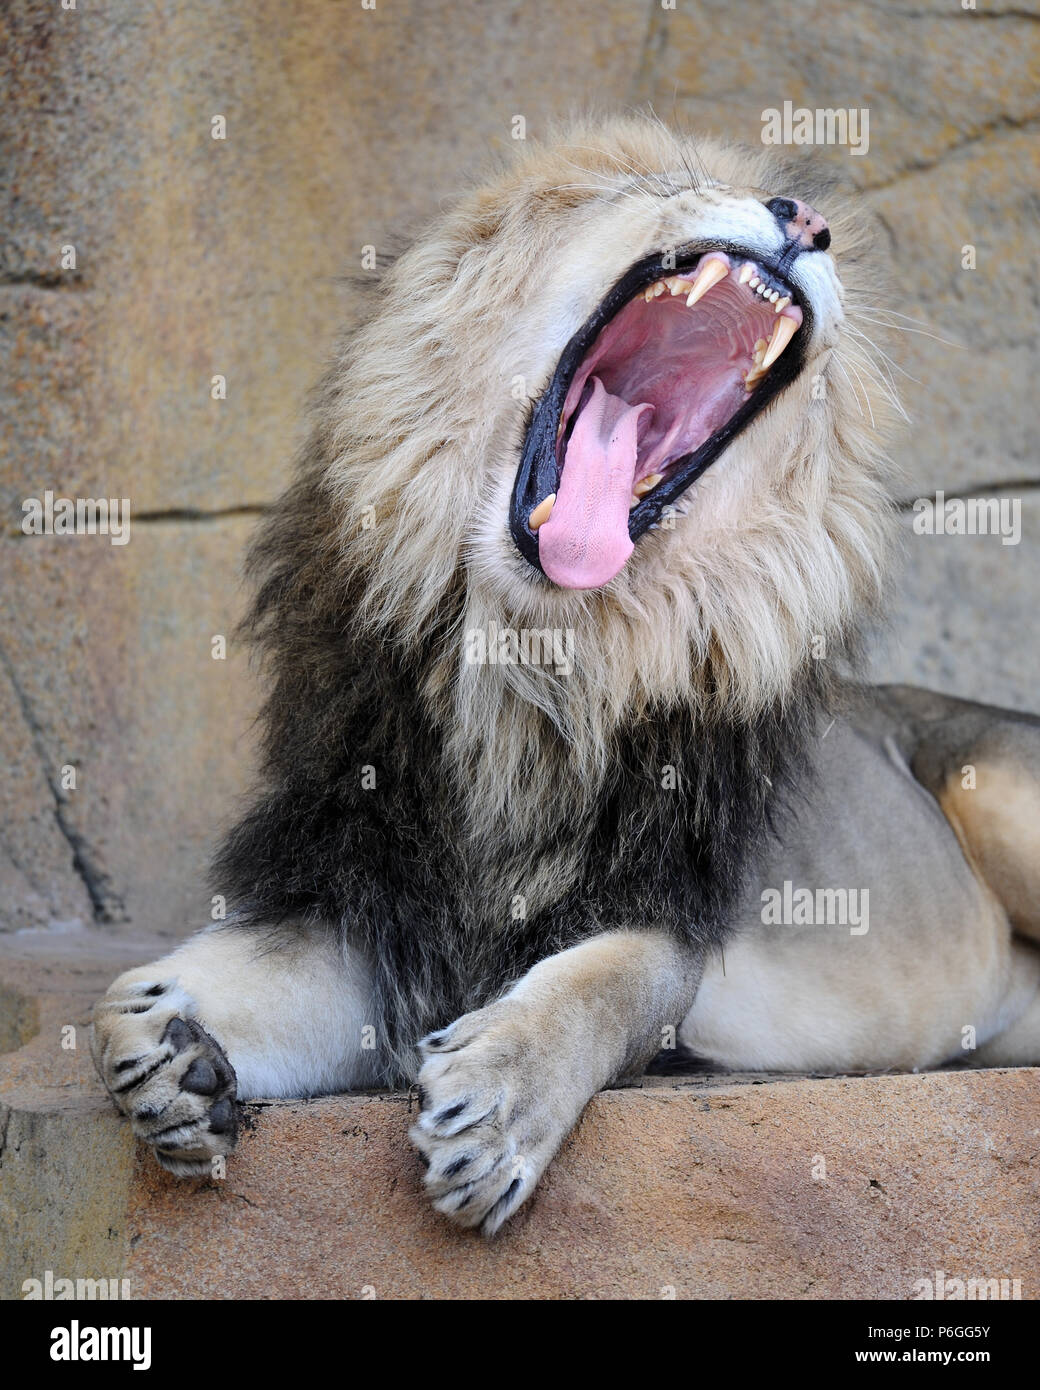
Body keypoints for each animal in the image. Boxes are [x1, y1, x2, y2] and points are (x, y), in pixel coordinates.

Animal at [91, 115, 1040, 1236]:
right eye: (661, 185)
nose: (805, 221)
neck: (535, 668)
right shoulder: (371, 902)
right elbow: (122, 1007)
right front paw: (169, 1055)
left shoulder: (667, 907)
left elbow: (604, 985)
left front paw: (499, 1107)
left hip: (998, 787)